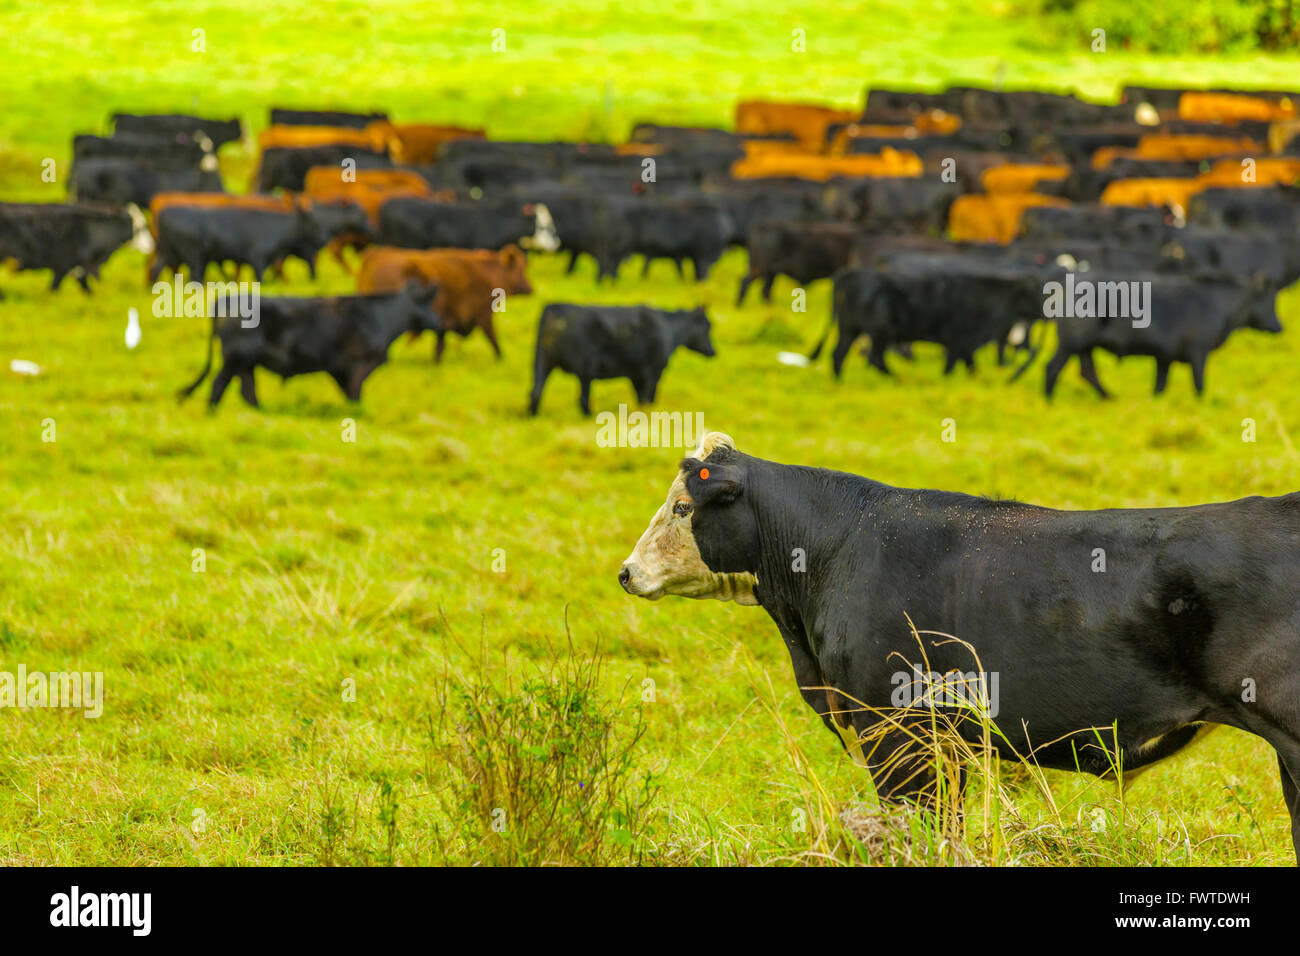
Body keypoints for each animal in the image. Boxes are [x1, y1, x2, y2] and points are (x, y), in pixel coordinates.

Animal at [176, 286, 441, 408]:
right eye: (429, 303)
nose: (440, 322)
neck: (379, 316)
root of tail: (225, 299)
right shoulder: (358, 366)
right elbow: (355, 395)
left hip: (246, 363)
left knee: (247, 391)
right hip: (236, 358)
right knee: (218, 386)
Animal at [357, 245, 531, 360]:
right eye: (520, 270)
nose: (531, 288)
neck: (487, 273)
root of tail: (375, 254)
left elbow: (439, 346)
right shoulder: (483, 316)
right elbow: (493, 339)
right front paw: (501, 359)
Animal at [528, 304, 714, 415]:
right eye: (707, 327)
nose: (713, 351)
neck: (668, 329)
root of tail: (556, 308)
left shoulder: (636, 375)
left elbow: (641, 398)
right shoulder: (653, 372)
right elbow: (649, 398)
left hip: (542, 363)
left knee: (536, 392)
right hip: (585, 369)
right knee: (582, 399)